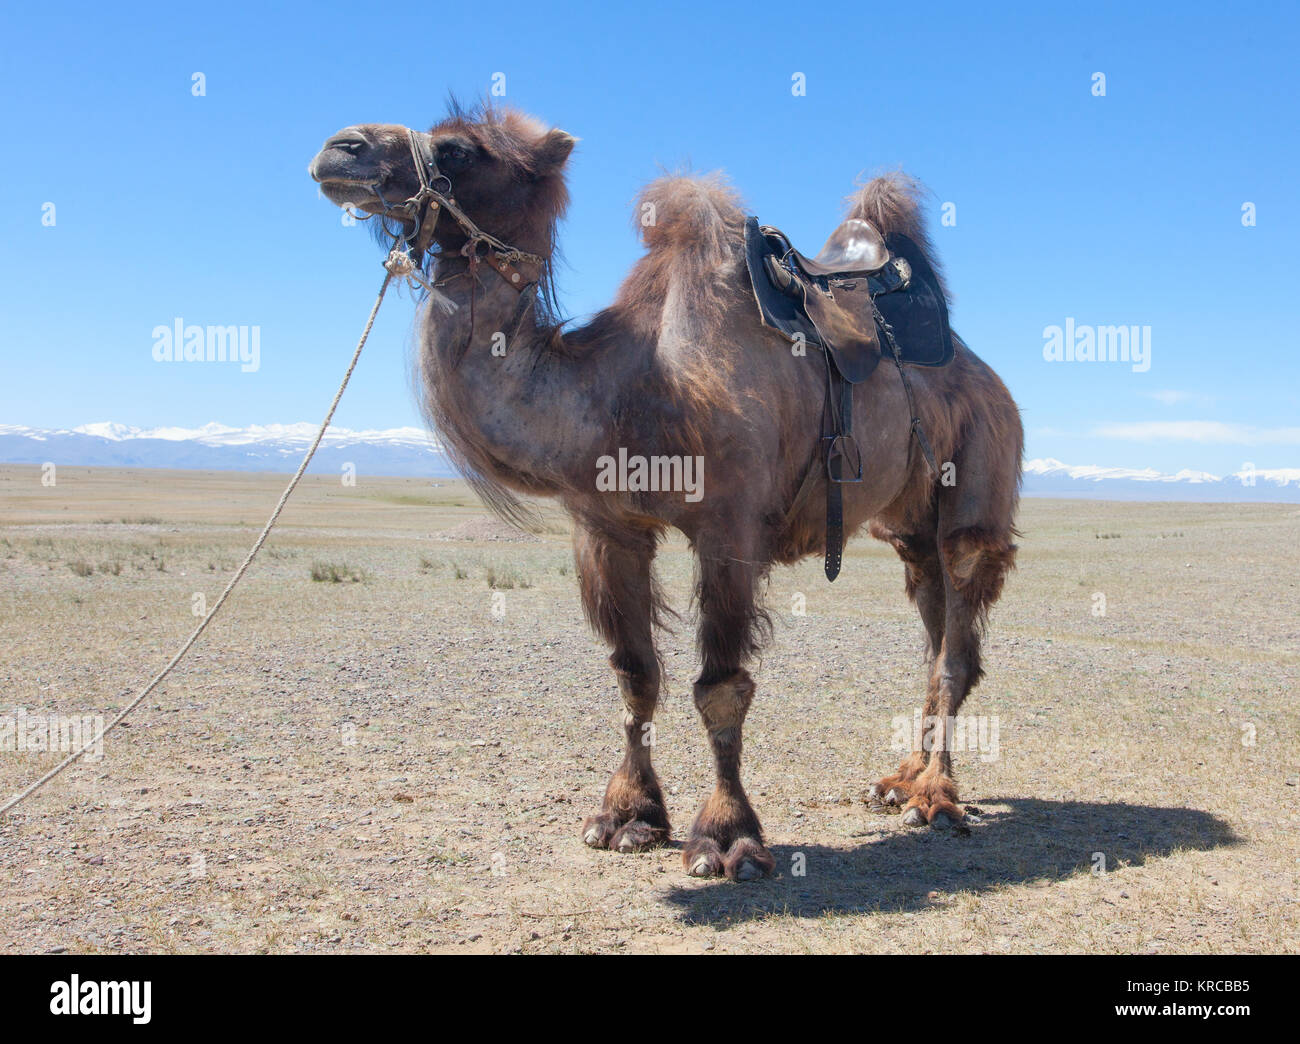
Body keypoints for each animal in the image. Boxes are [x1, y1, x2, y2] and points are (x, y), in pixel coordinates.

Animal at [309, 104, 1022, 882]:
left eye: (460, 150)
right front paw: (627, 816)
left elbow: (720, 688)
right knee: (932, 617)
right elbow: (634, 675)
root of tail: (984, 372)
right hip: (906, 523)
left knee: (955, 639)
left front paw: (726, 839)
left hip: (979, 474)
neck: (634, 387)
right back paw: (899, 781)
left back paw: (935, 798)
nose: (338, 148)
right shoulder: (606, 529)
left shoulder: (730, 528)